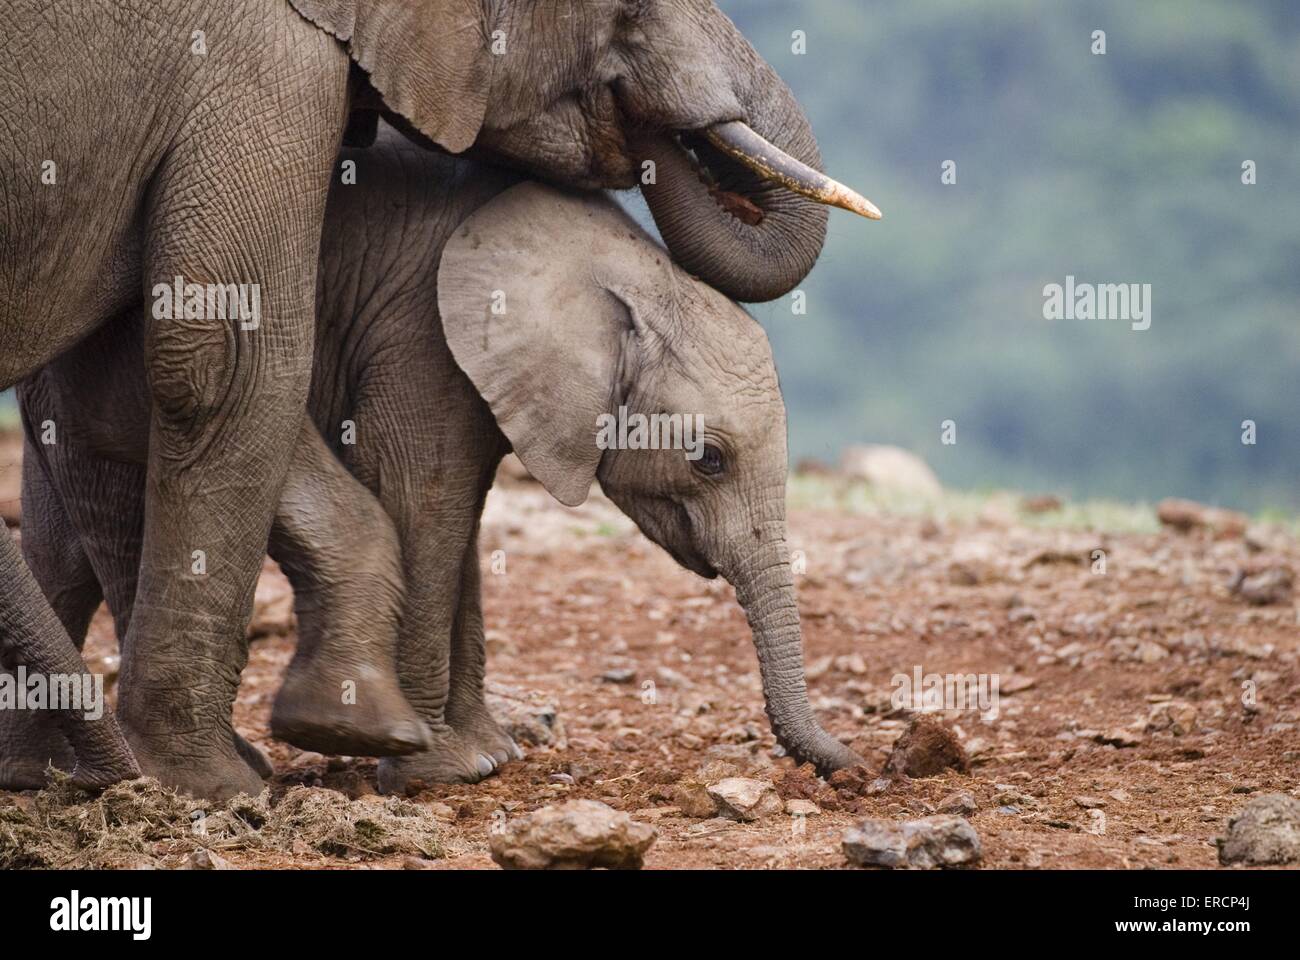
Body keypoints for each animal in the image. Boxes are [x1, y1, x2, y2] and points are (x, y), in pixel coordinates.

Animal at [0, 0, 878, 797]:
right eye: (708, 458)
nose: (858, 772)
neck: (619, 256)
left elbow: (462, 516)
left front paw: (483, 756)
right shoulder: (416, 322)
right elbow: (410, 482)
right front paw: (428, 766)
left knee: (66, 536)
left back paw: (47, 775)